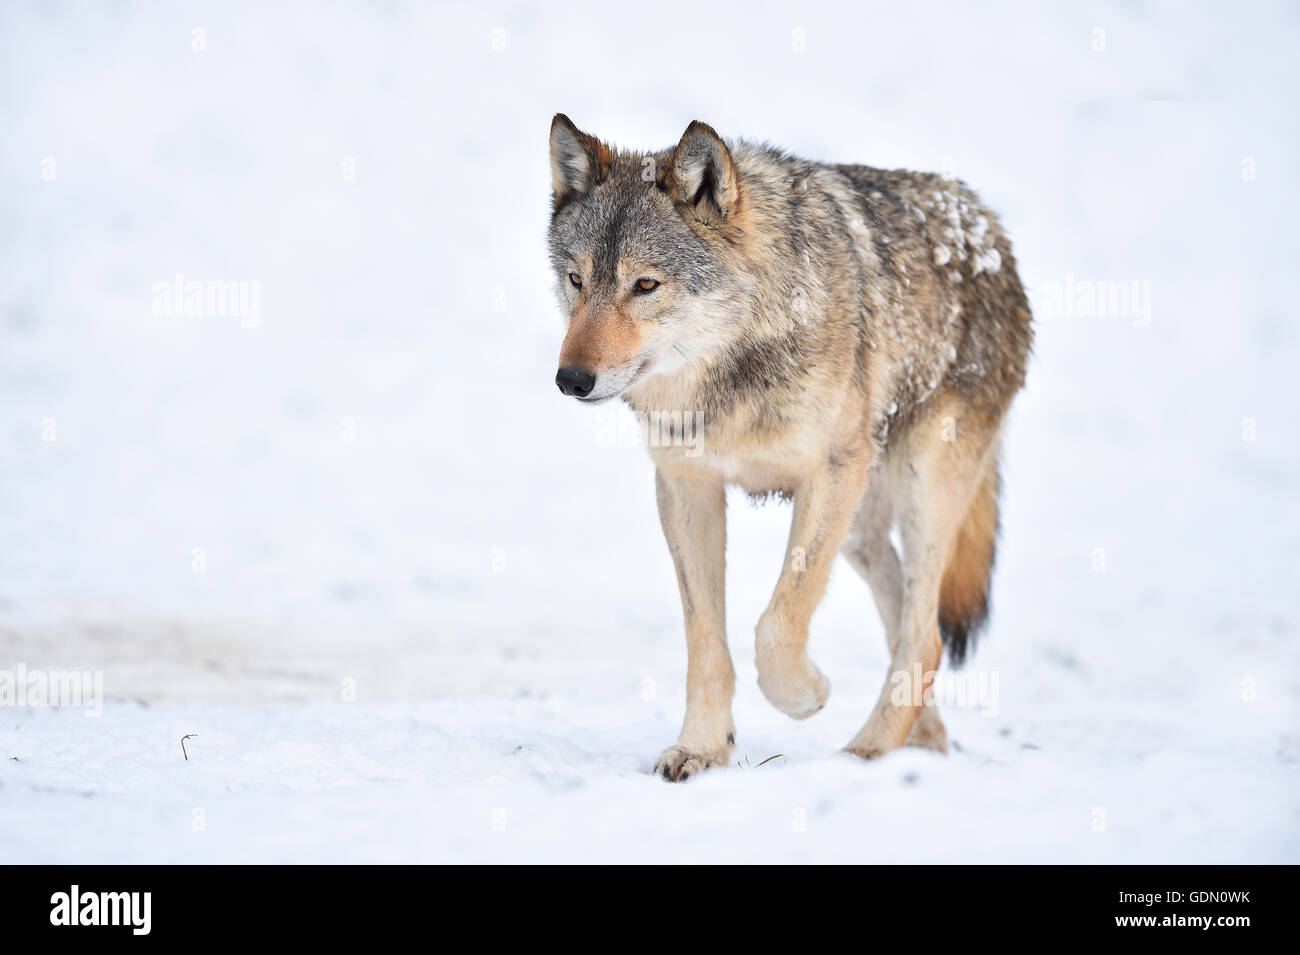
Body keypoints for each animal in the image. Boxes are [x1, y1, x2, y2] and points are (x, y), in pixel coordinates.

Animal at [547, 115, 1032, 781]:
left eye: (645, 285)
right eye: (577, 280)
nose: (571, 379)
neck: (730, 373)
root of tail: (988, 224)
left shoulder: (830, 476)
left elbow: (778, 622)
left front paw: (805, 696)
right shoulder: (687, 487)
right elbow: (707, 643)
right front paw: (701, 749)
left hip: (921, 491)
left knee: (925, 637)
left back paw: (865, 752)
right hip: (862, 530)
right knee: (909, 627)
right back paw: (918, 747)